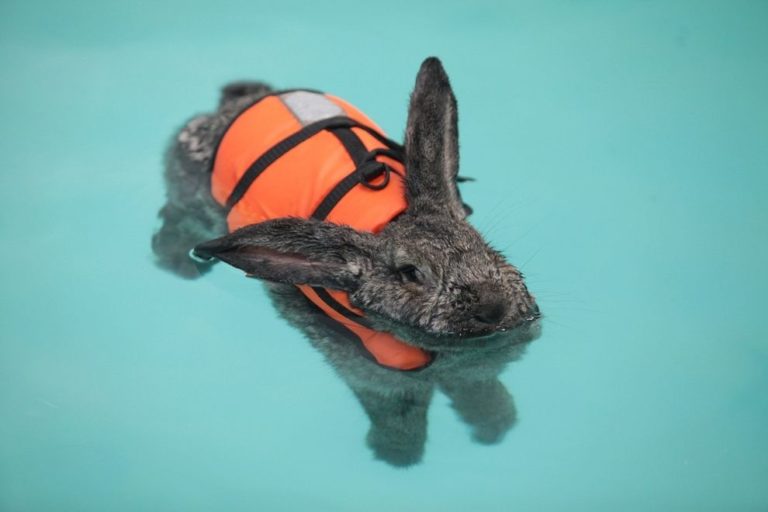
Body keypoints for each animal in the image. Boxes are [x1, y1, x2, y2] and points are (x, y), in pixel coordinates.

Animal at [152, 57, 541, 467]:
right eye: (410, 273)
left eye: (480, 243)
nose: (493, 306)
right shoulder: (377, 377)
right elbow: (401, 412)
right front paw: (396, 453)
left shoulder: (473, 373)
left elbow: (481, 393)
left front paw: (495, 425)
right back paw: (177, 261)